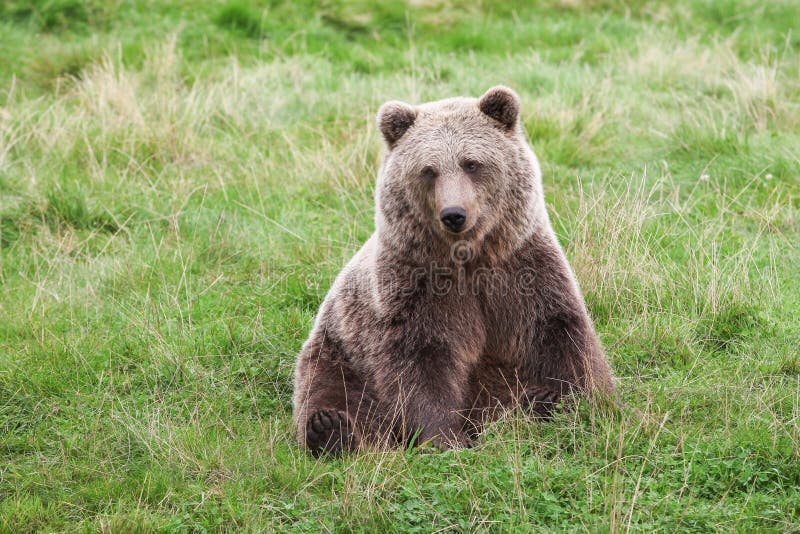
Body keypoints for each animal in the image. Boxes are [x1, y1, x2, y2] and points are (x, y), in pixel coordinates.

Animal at [292, 86, 614, 456]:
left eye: (471, 163)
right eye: (428, 169)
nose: (454, 214)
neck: (469, 256)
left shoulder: (523, 268)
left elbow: (560, 332)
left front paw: (567, 397)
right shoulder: (416, 288)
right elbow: (420, 363)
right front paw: (445, 438)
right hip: (338, 348)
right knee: (332, 389)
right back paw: (330, 428)